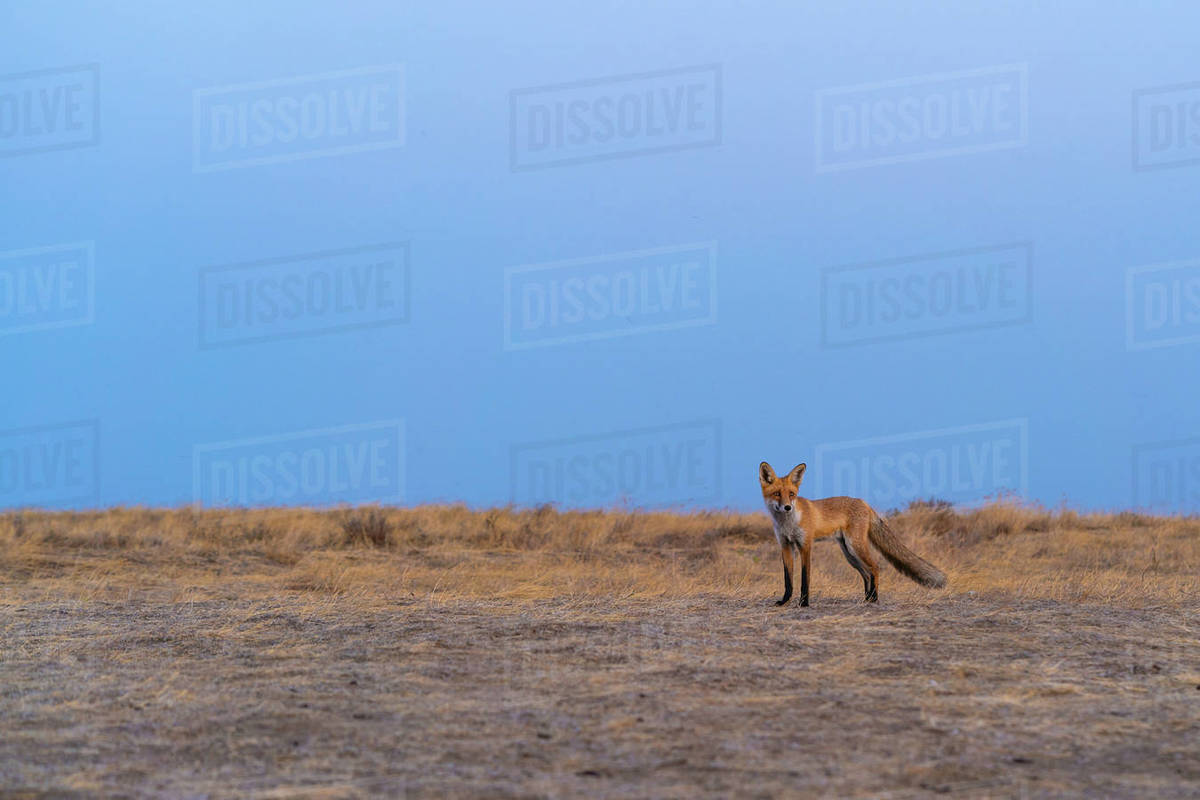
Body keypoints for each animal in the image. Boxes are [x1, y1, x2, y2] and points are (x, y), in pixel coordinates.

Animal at [759, 461, 946, 607]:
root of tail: (864, 502)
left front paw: (804, 603)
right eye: (777, 494)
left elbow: (805, 579)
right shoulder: (785, 546)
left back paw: (874, 599)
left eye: (791, 494)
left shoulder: (805, 546)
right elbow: (788, 579)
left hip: (855, 546)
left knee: (875, 568)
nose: (787, 507)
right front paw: (784, 601)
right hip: (849, 553)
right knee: (867, 574)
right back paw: (867, 598)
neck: (788, 524)